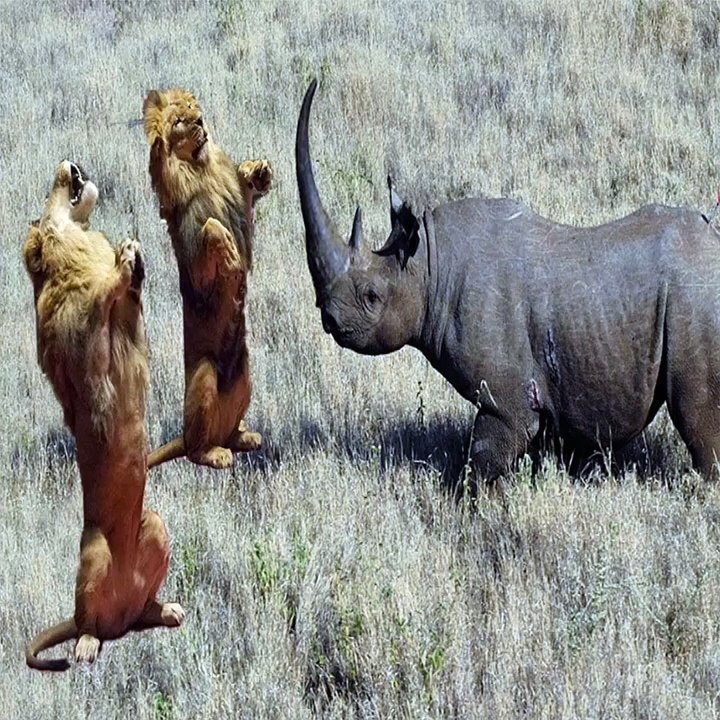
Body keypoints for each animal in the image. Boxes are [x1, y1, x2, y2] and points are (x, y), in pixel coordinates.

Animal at [23, 161, 184, 671]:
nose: (71, 165)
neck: (77, 250)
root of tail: (119, 618)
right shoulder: (86, 358)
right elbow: (98, 299)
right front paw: (120, 262)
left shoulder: (132, 324)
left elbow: (130, 296)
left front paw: (131, 254)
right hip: (93, 552)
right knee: (89, 624)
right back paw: (87, 645)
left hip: (156, 524)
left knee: (142, 611)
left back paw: (165, 610)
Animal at [142, 88, 272, 470]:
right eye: (179, 121)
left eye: (193, 109)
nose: (201, 121)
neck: (200, 170)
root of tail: (183, 436)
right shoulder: (196, 268)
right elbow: (213, 228)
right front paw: (230, 258)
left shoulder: (238, 208)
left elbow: (243, 190)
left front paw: (257, 171)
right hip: (204, 378)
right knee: (196, 450)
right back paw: (216, 455)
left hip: (245, 375)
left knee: (228, 431)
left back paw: (244, 437)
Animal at [296, 78, 720, 482]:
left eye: (371, 296)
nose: (329, 319)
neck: (430, 267)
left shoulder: (505, 401)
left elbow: (481, 465)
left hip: (694, 303)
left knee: (698, 423)